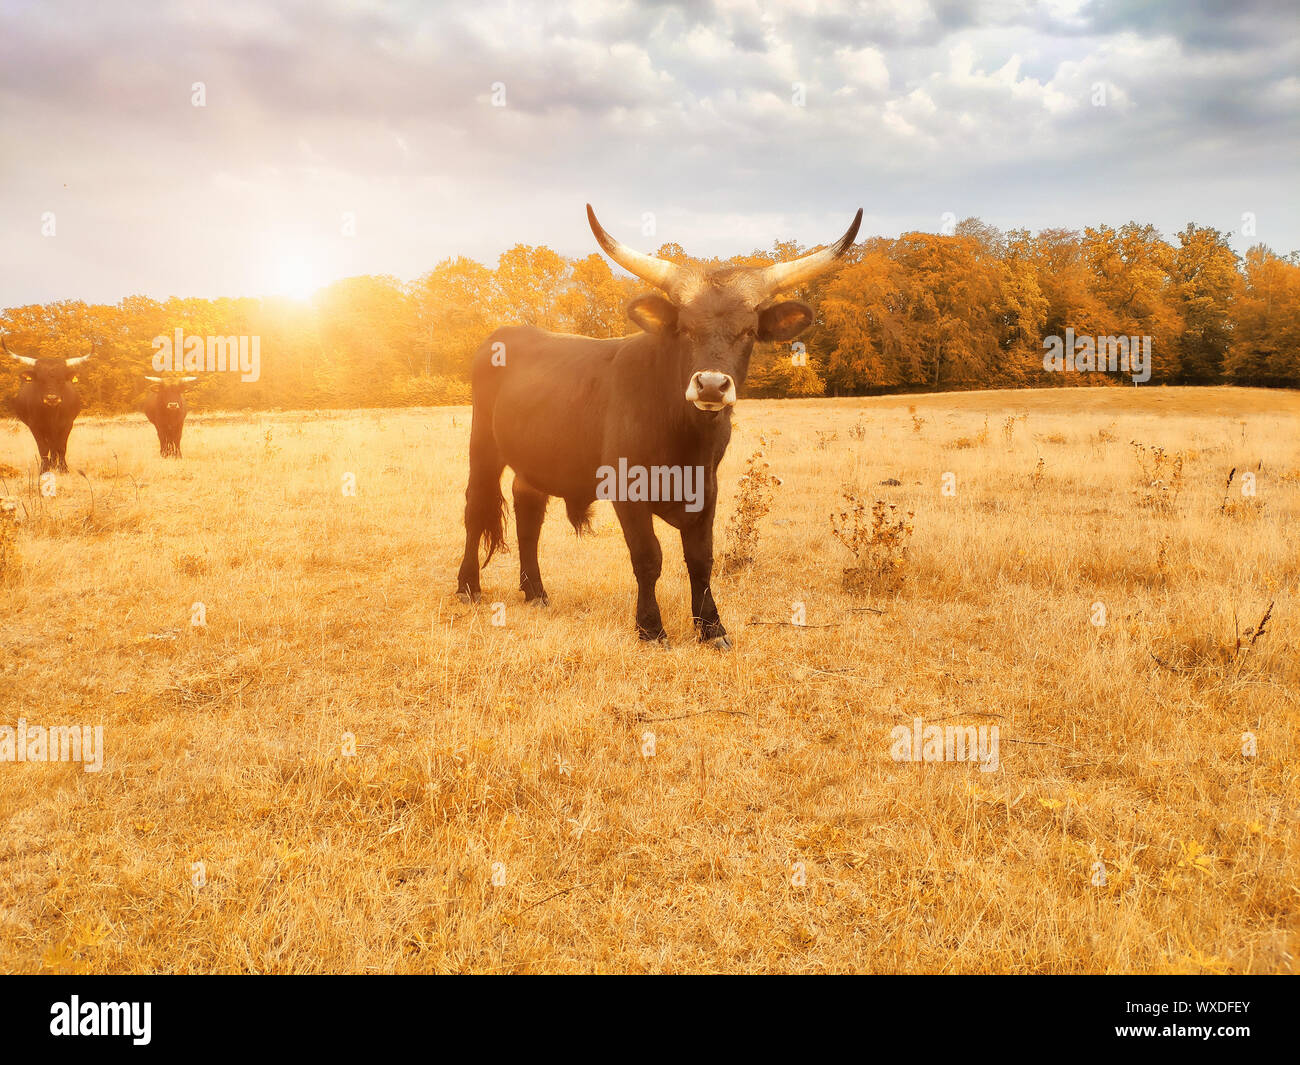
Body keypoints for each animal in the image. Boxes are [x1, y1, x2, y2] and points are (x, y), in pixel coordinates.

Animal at [4, 336, 90, 473]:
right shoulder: (35, 426)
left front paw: (63, 469)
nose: (52, 398)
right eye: (40, 380)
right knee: (50, 445)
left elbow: (61, 447)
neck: (52, 413)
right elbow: (43, 448)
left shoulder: (67, 424)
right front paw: (44, 469)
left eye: (61, 380)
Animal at [456, 203, 862, 648]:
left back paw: (535, 591)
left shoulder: (707, 489)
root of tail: (505, 334)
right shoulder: (626, 489)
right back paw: (468, 586)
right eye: (685, 328)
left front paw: (712, 627)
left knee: (528, 513)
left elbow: (701, 559)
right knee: (475, 509)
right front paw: (650, 627)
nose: (712, 384)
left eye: (749, 331)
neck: (683, 440)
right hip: (483, 447)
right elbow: (649, 556)